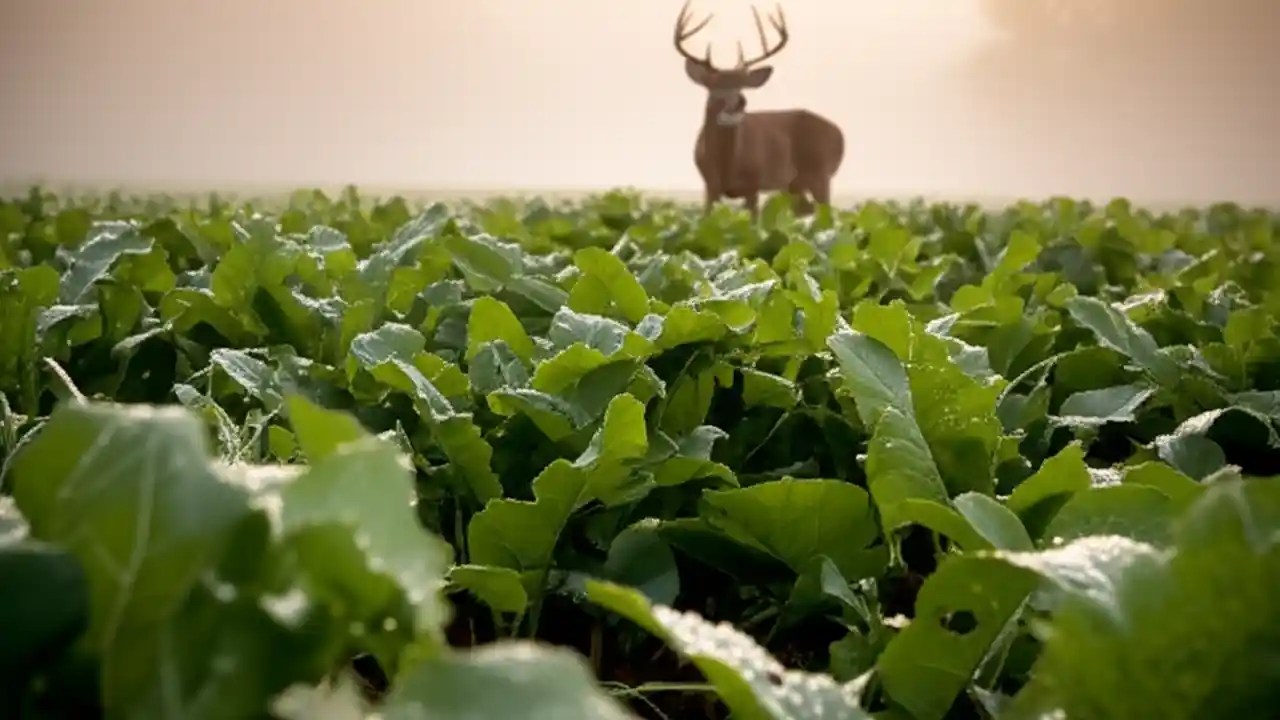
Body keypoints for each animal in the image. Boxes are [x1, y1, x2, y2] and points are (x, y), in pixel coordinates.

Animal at [674, 0, 845, 221]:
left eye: (741, 88)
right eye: (712, 88)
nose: (737, 104)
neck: (726, 166)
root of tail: (839, 133)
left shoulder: (753, 184)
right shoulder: (709, 185)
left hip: (822, 173)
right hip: (795, 185)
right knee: (805, 210)